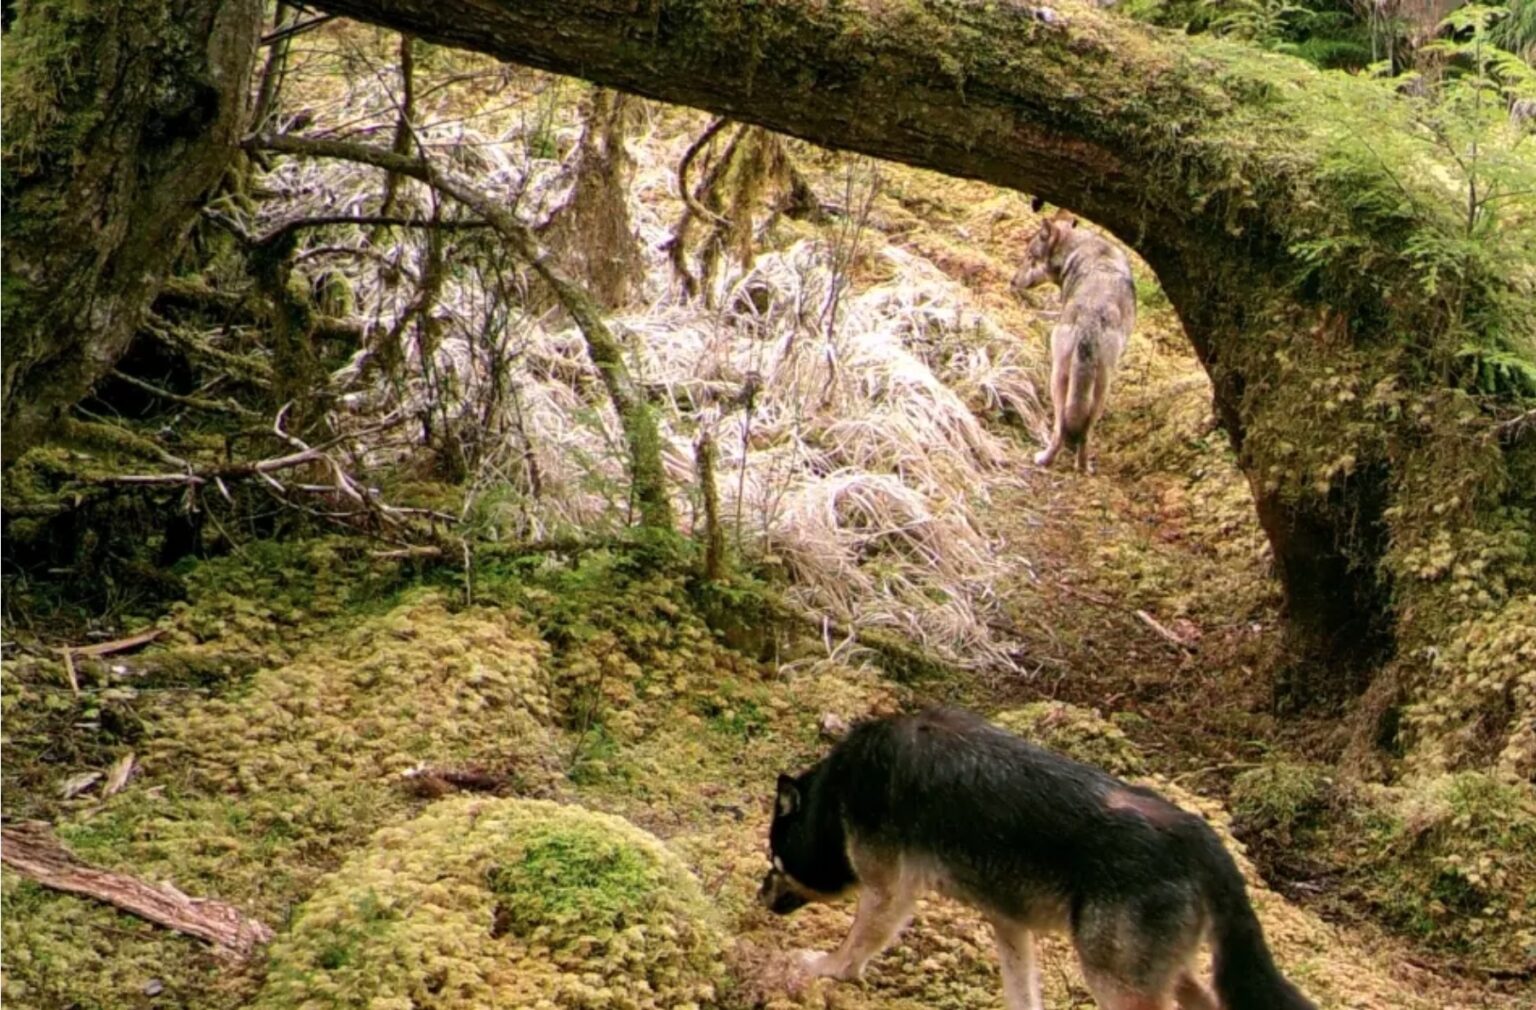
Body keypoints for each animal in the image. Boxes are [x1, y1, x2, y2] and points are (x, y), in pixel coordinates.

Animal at [758, 708, 1316, 1010]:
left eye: (773, 858)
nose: (759, 895)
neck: (837, 794)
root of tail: (1204, 840)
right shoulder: (1009, 923)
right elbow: (1022, 990)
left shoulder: (888, 892)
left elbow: (852, 950)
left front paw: (823, 968)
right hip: (1158, 972)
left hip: (1113, 980)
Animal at [1011, 199, 1136, 473]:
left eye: (1029, 257)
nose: (1012, 281)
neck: (1077, 249)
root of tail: (1091, 318)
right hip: (1102, 387)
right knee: (1085, 432)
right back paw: (1083, 468)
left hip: (1057, 377)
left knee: (1060, 427)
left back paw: (1044, 460)